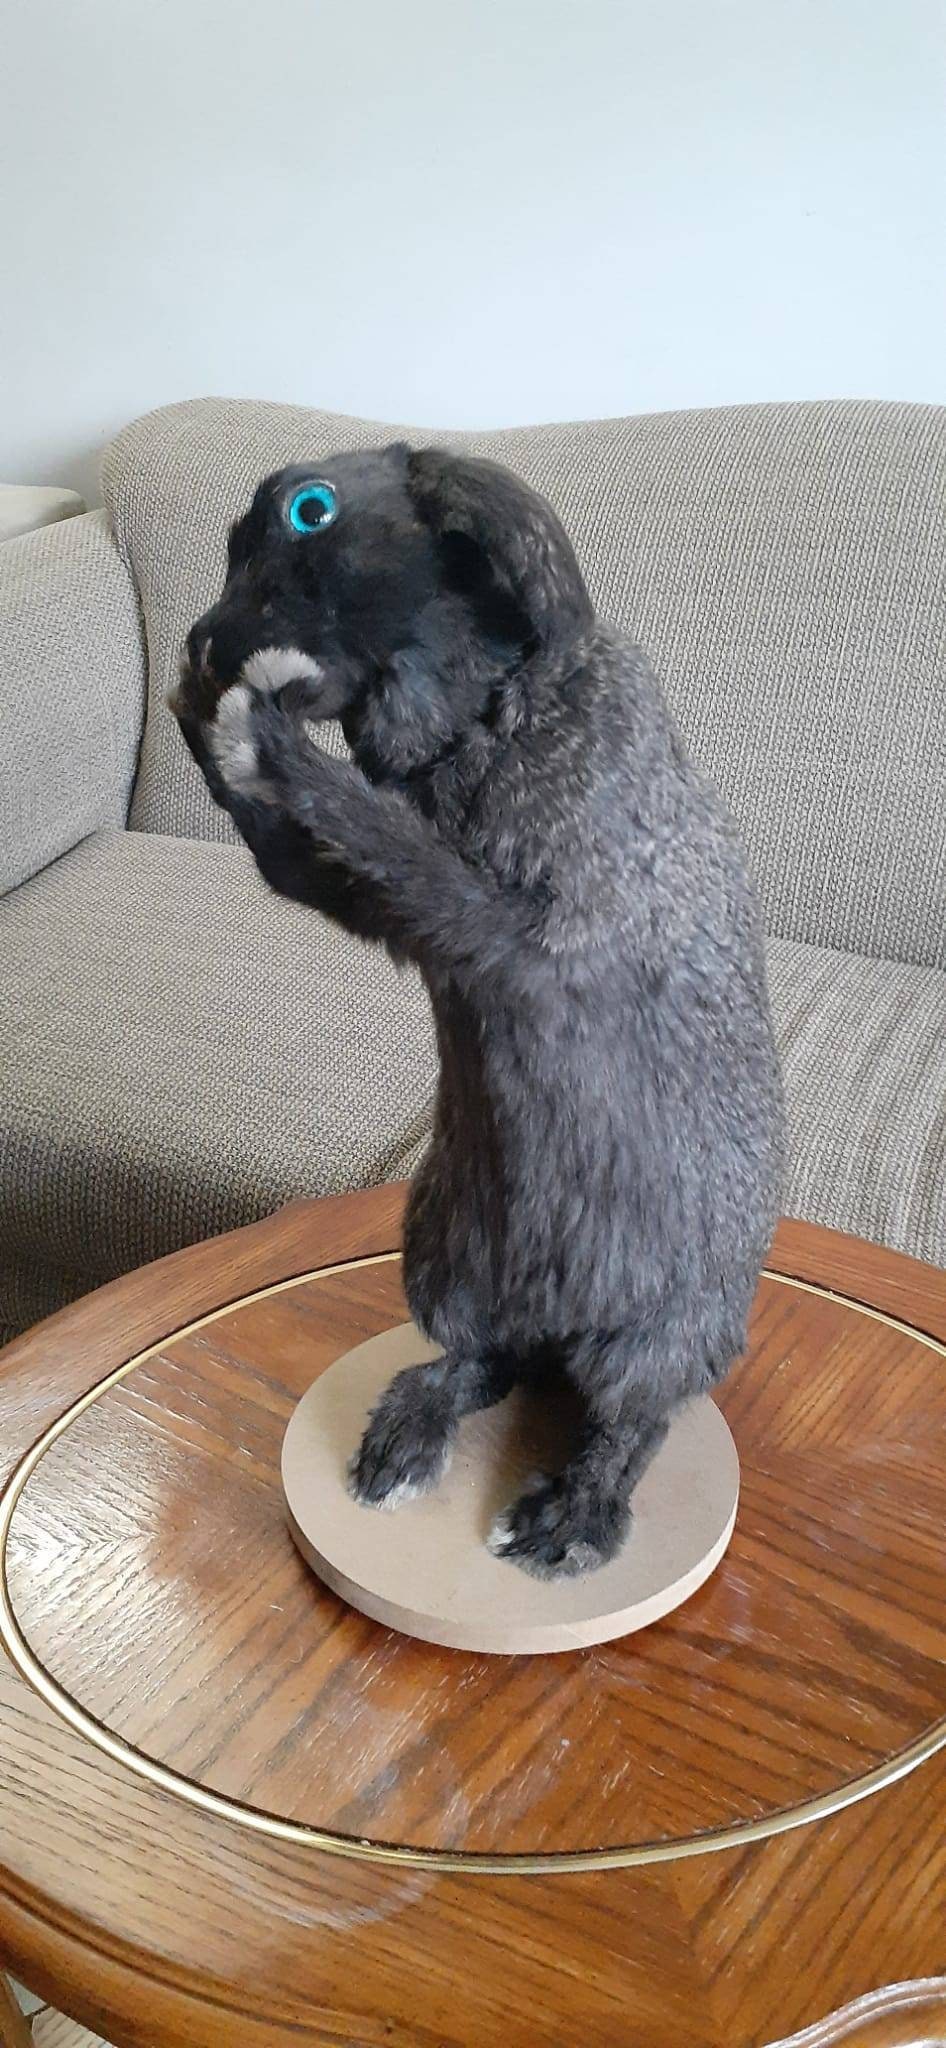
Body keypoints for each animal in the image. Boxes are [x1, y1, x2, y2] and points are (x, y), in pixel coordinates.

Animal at [173, 443, 784, 1578]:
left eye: (311, 509)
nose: (200, 645)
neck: (480, 719)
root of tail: (556, 1322)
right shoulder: (404, 921)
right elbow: (316, 859)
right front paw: (212, 726)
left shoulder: (519, 936)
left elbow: (381, 838)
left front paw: (255, 730)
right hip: (441, 1254)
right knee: (481, 1364)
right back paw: (400, 1440)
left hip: (656, 1334)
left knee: (629, 1423)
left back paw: (562, 1524)